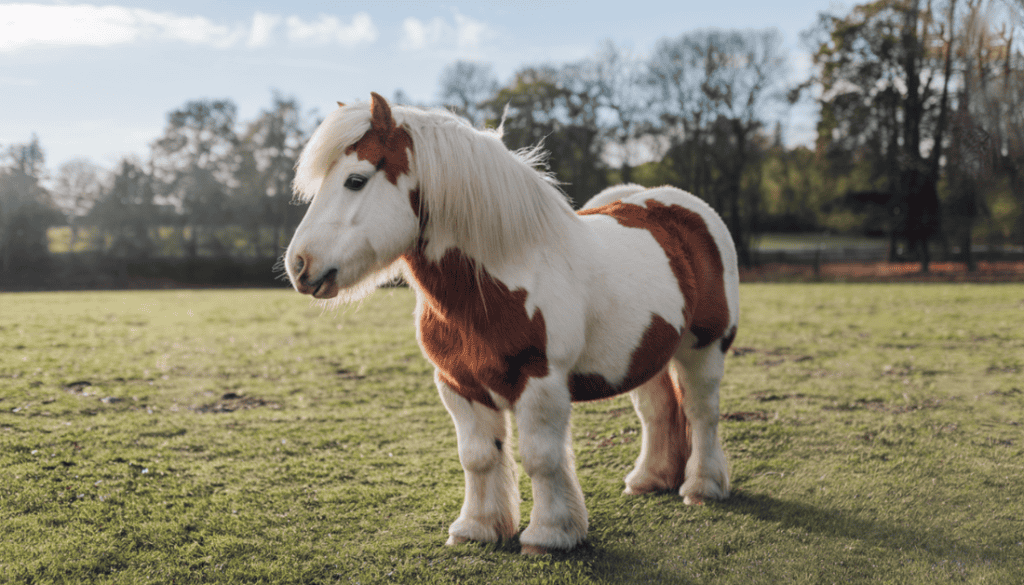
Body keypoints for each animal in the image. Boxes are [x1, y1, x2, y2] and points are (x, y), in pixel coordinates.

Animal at [284, 93, 740, 555]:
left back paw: (702, 487)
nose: (299, 265)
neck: (497, 277)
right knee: (657, 410)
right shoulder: (459, 383)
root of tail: (680, 208)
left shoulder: (539, 382)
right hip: (650, 353)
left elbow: (541, 458)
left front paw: (550, 535)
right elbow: (478, 456)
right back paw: (649, 480)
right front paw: (477, 528)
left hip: (704, 349)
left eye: (355, 180)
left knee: (701, 412)